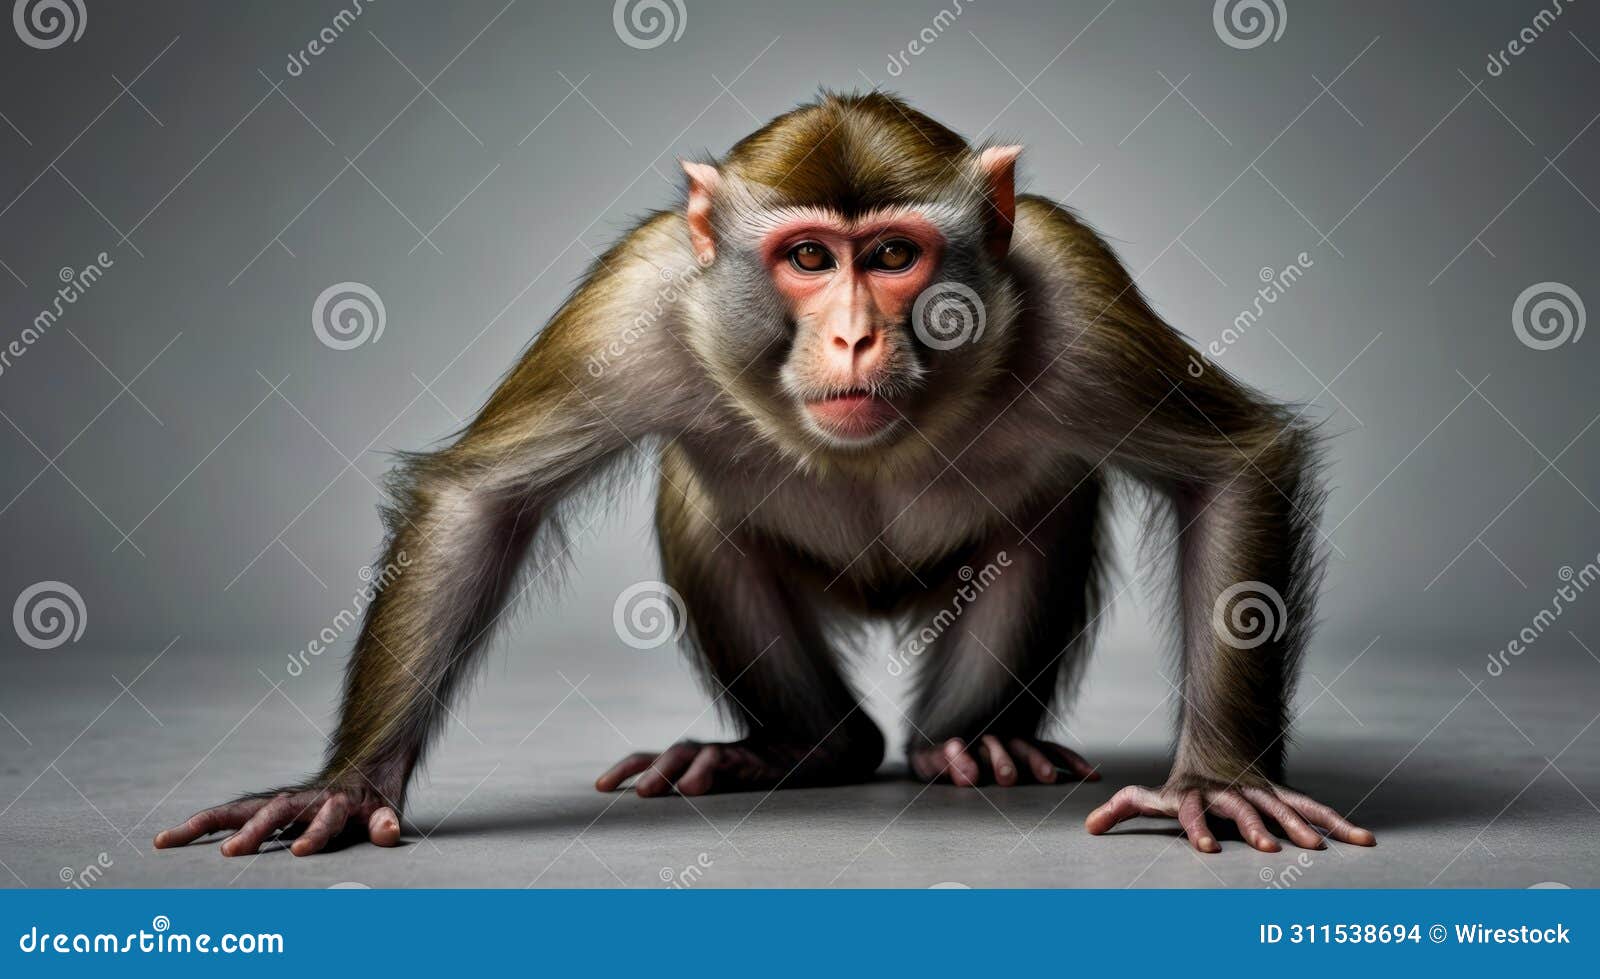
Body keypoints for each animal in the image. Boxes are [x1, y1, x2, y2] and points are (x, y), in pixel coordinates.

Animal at [155, 92, 1375, 859]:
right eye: (808, 258)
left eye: (894, 256)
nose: (850, 334)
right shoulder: (634, 297)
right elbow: (482, 498)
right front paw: (344, 788)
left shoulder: (1077, 295)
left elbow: (1231, 467)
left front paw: (1217, 782)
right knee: (702, 511)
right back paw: (801, 746)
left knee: (1049, 515)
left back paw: (969, 741)